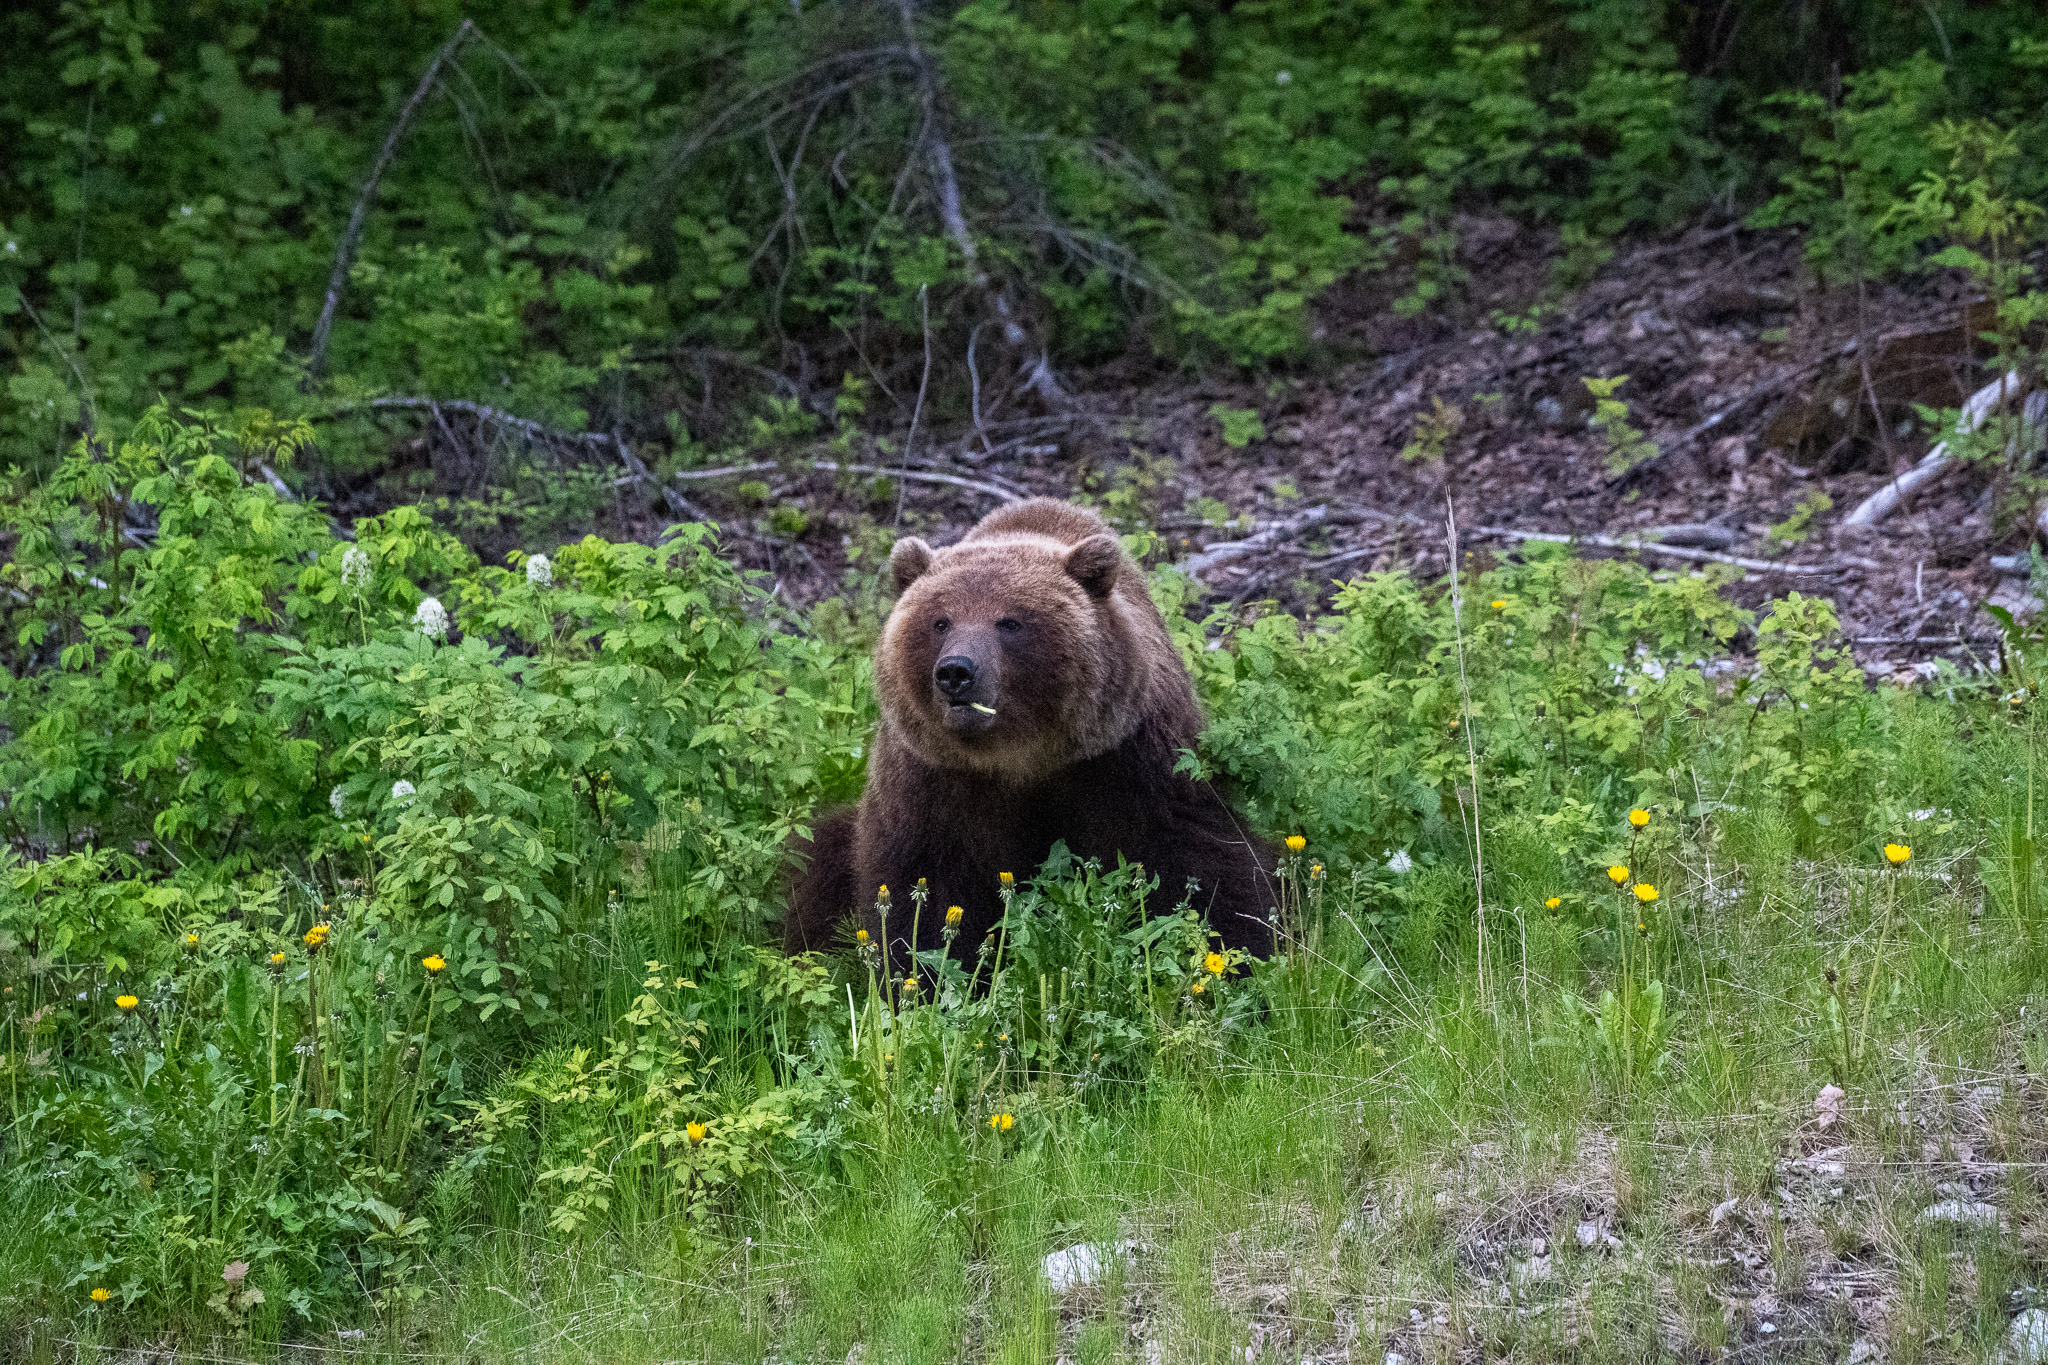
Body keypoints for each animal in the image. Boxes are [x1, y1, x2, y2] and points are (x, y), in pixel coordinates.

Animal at [783, 497, 1276, 966]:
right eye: (941, 621)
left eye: (1009, 621)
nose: (956, 671)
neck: (1023, 758)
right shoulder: (934, 779)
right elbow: (924, 882)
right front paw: (925, 970)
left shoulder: (1128, 757)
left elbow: (1193, 855)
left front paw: (1243, 947)